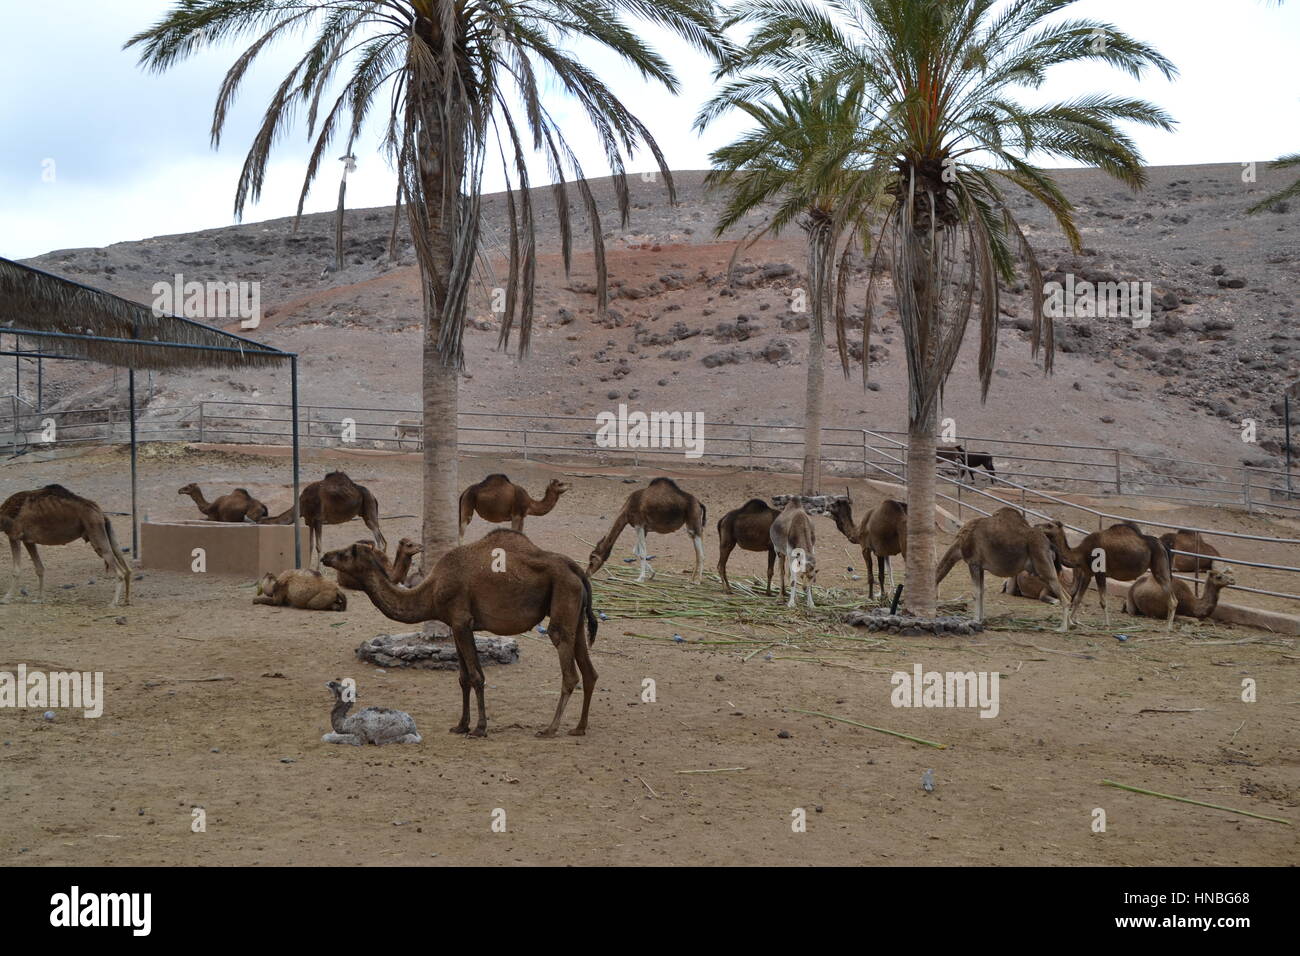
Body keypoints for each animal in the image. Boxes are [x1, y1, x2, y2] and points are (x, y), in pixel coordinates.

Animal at [1, 485, 131, 606]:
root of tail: (101, 513)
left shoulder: (14, 535)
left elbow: (16, 570)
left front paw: (6, 598)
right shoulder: (28, 540)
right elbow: (39, 568)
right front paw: (39, 598)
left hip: (95, 531)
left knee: (119, 570)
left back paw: (113, 603)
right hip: (105, 531)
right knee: (126, 566)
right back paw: (126, 600)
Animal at [323, 529, 598, 738]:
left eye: (346, 552)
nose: (326, 556)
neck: (431, 592)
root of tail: (577, 570)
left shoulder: (461, 620)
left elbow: (477, 676)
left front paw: (479, 728)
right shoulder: (455, 625)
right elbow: (463, 678)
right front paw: (461, 725)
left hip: (563, 599)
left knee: (568, 669)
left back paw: (550, 729)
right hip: (576, 614)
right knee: (590, 671)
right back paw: (580, 727)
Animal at [935, 507, 1067, 628]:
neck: (960, 543)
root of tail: (1050, 545)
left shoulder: (973, 563)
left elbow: (976, 592)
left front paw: (973, 621)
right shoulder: (981, 567)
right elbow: (982, 592)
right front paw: (981, 619)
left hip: (1044, 567)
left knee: (1064, 597)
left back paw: (1062, 628)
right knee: (1066, 594)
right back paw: (1071, 624)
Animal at [1037, 520, 1176, 631]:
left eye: (1049, 525)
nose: (1036, 525)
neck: (1080, 553)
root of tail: (1162, 545)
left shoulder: (1100, 572)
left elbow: (1103, 601)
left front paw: (1107, 625)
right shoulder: (1088, 573)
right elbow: (1077, 598)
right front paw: (1071, 622)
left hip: (1160, 568)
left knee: (1172, 600)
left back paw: (1167, 628)